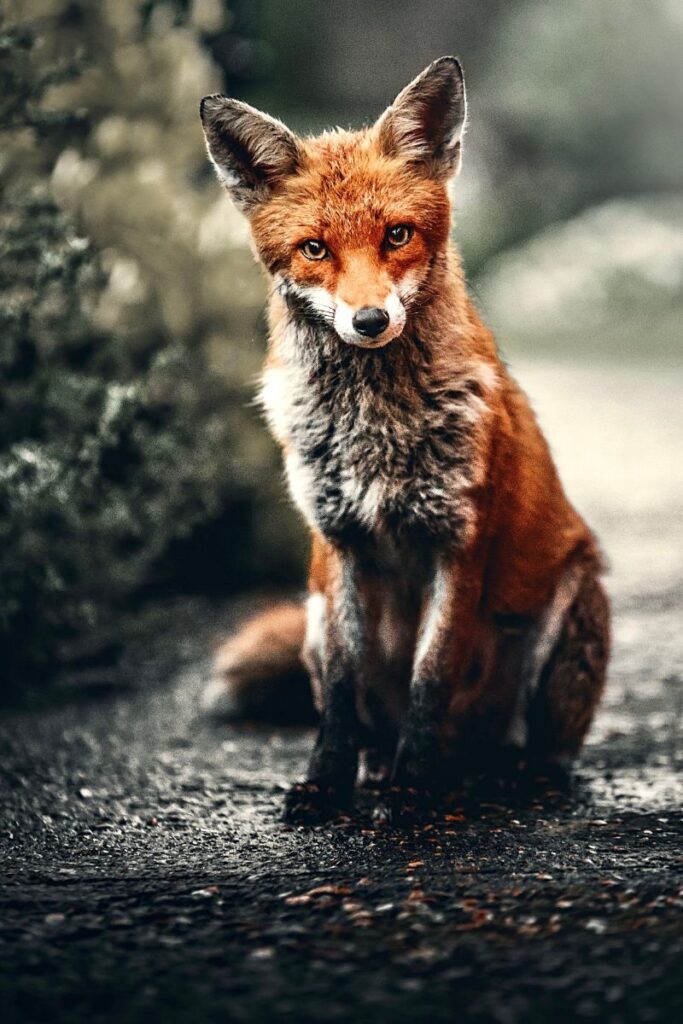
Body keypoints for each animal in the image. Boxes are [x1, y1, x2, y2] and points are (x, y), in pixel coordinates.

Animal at [199, 57, 610, 823]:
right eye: (314, 249)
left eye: (396, 235)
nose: (368, 321)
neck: (375, 431)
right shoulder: (336, 544)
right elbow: (339, 690)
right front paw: (326, 783)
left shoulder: (459, 540)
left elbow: (431, 676)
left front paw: (415, 791)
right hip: (310, 612)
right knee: (368, 723)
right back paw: (380, 768)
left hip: (570, 604)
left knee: (538, 749)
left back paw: (502, 774)